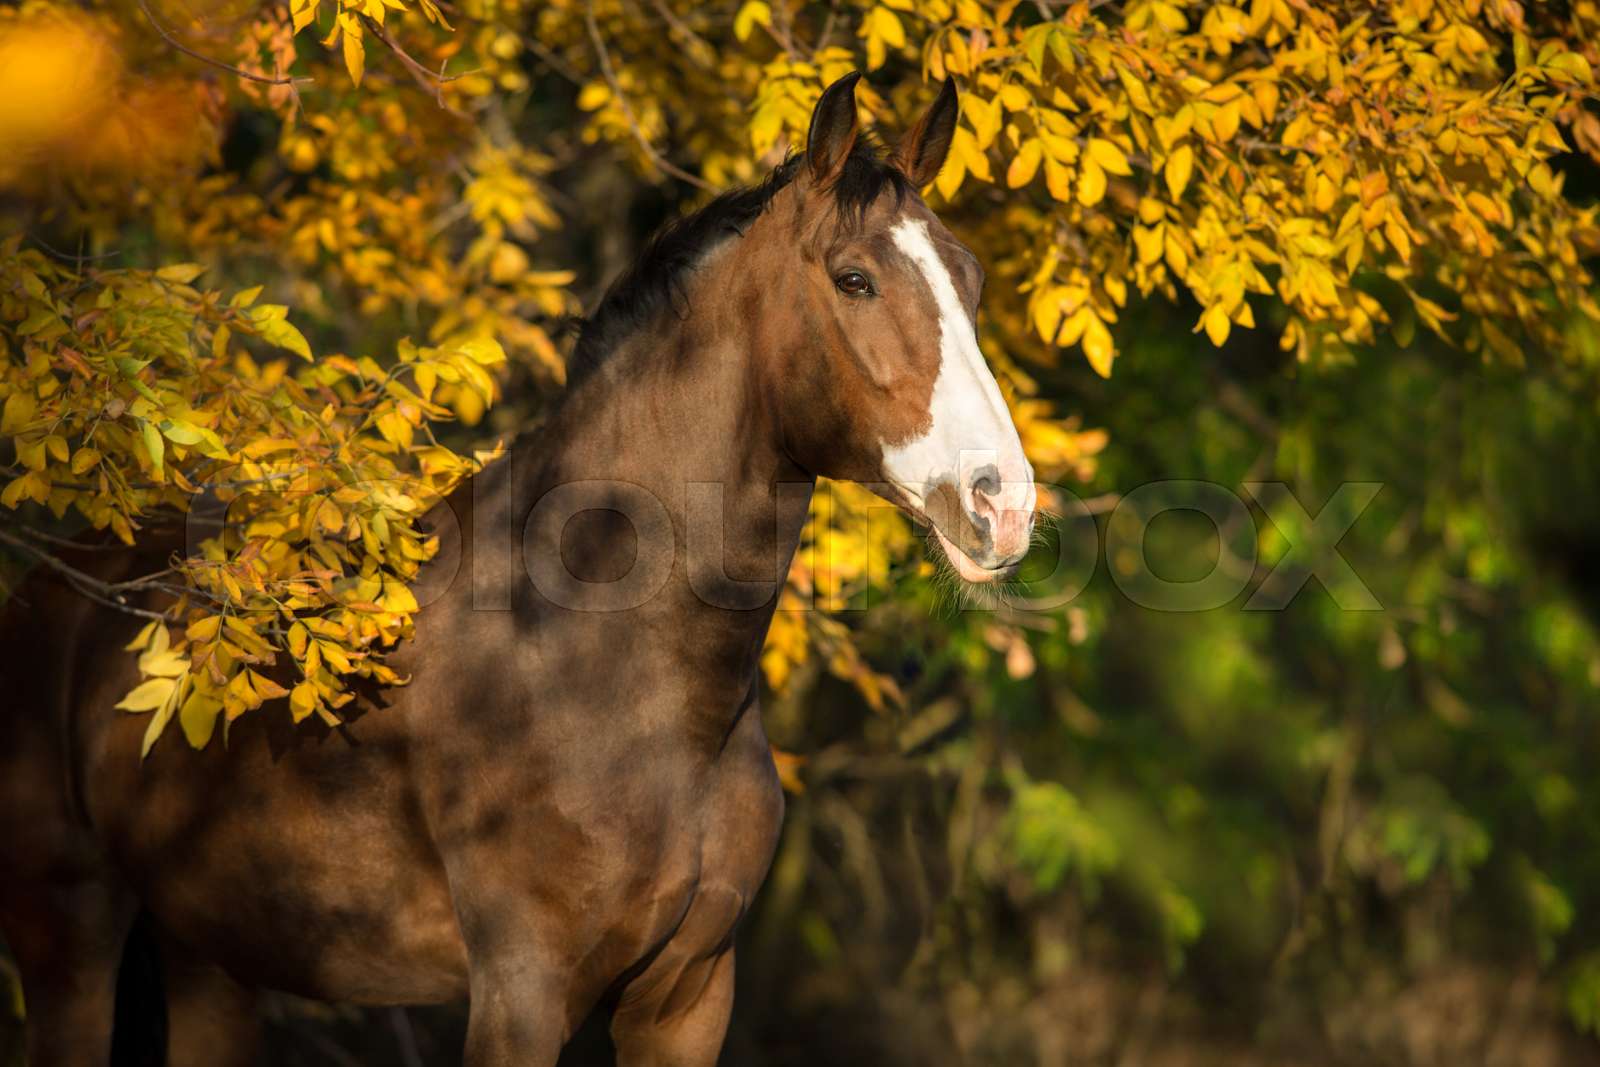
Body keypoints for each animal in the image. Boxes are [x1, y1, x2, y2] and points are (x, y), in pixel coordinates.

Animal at [0, 71, 1036, 1066]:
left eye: (973, 280)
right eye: (854, 279)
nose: (1004, 505)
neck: (600, 664)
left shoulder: (690, 999)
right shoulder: (523, 993)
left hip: (211, 951)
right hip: (69, 928)